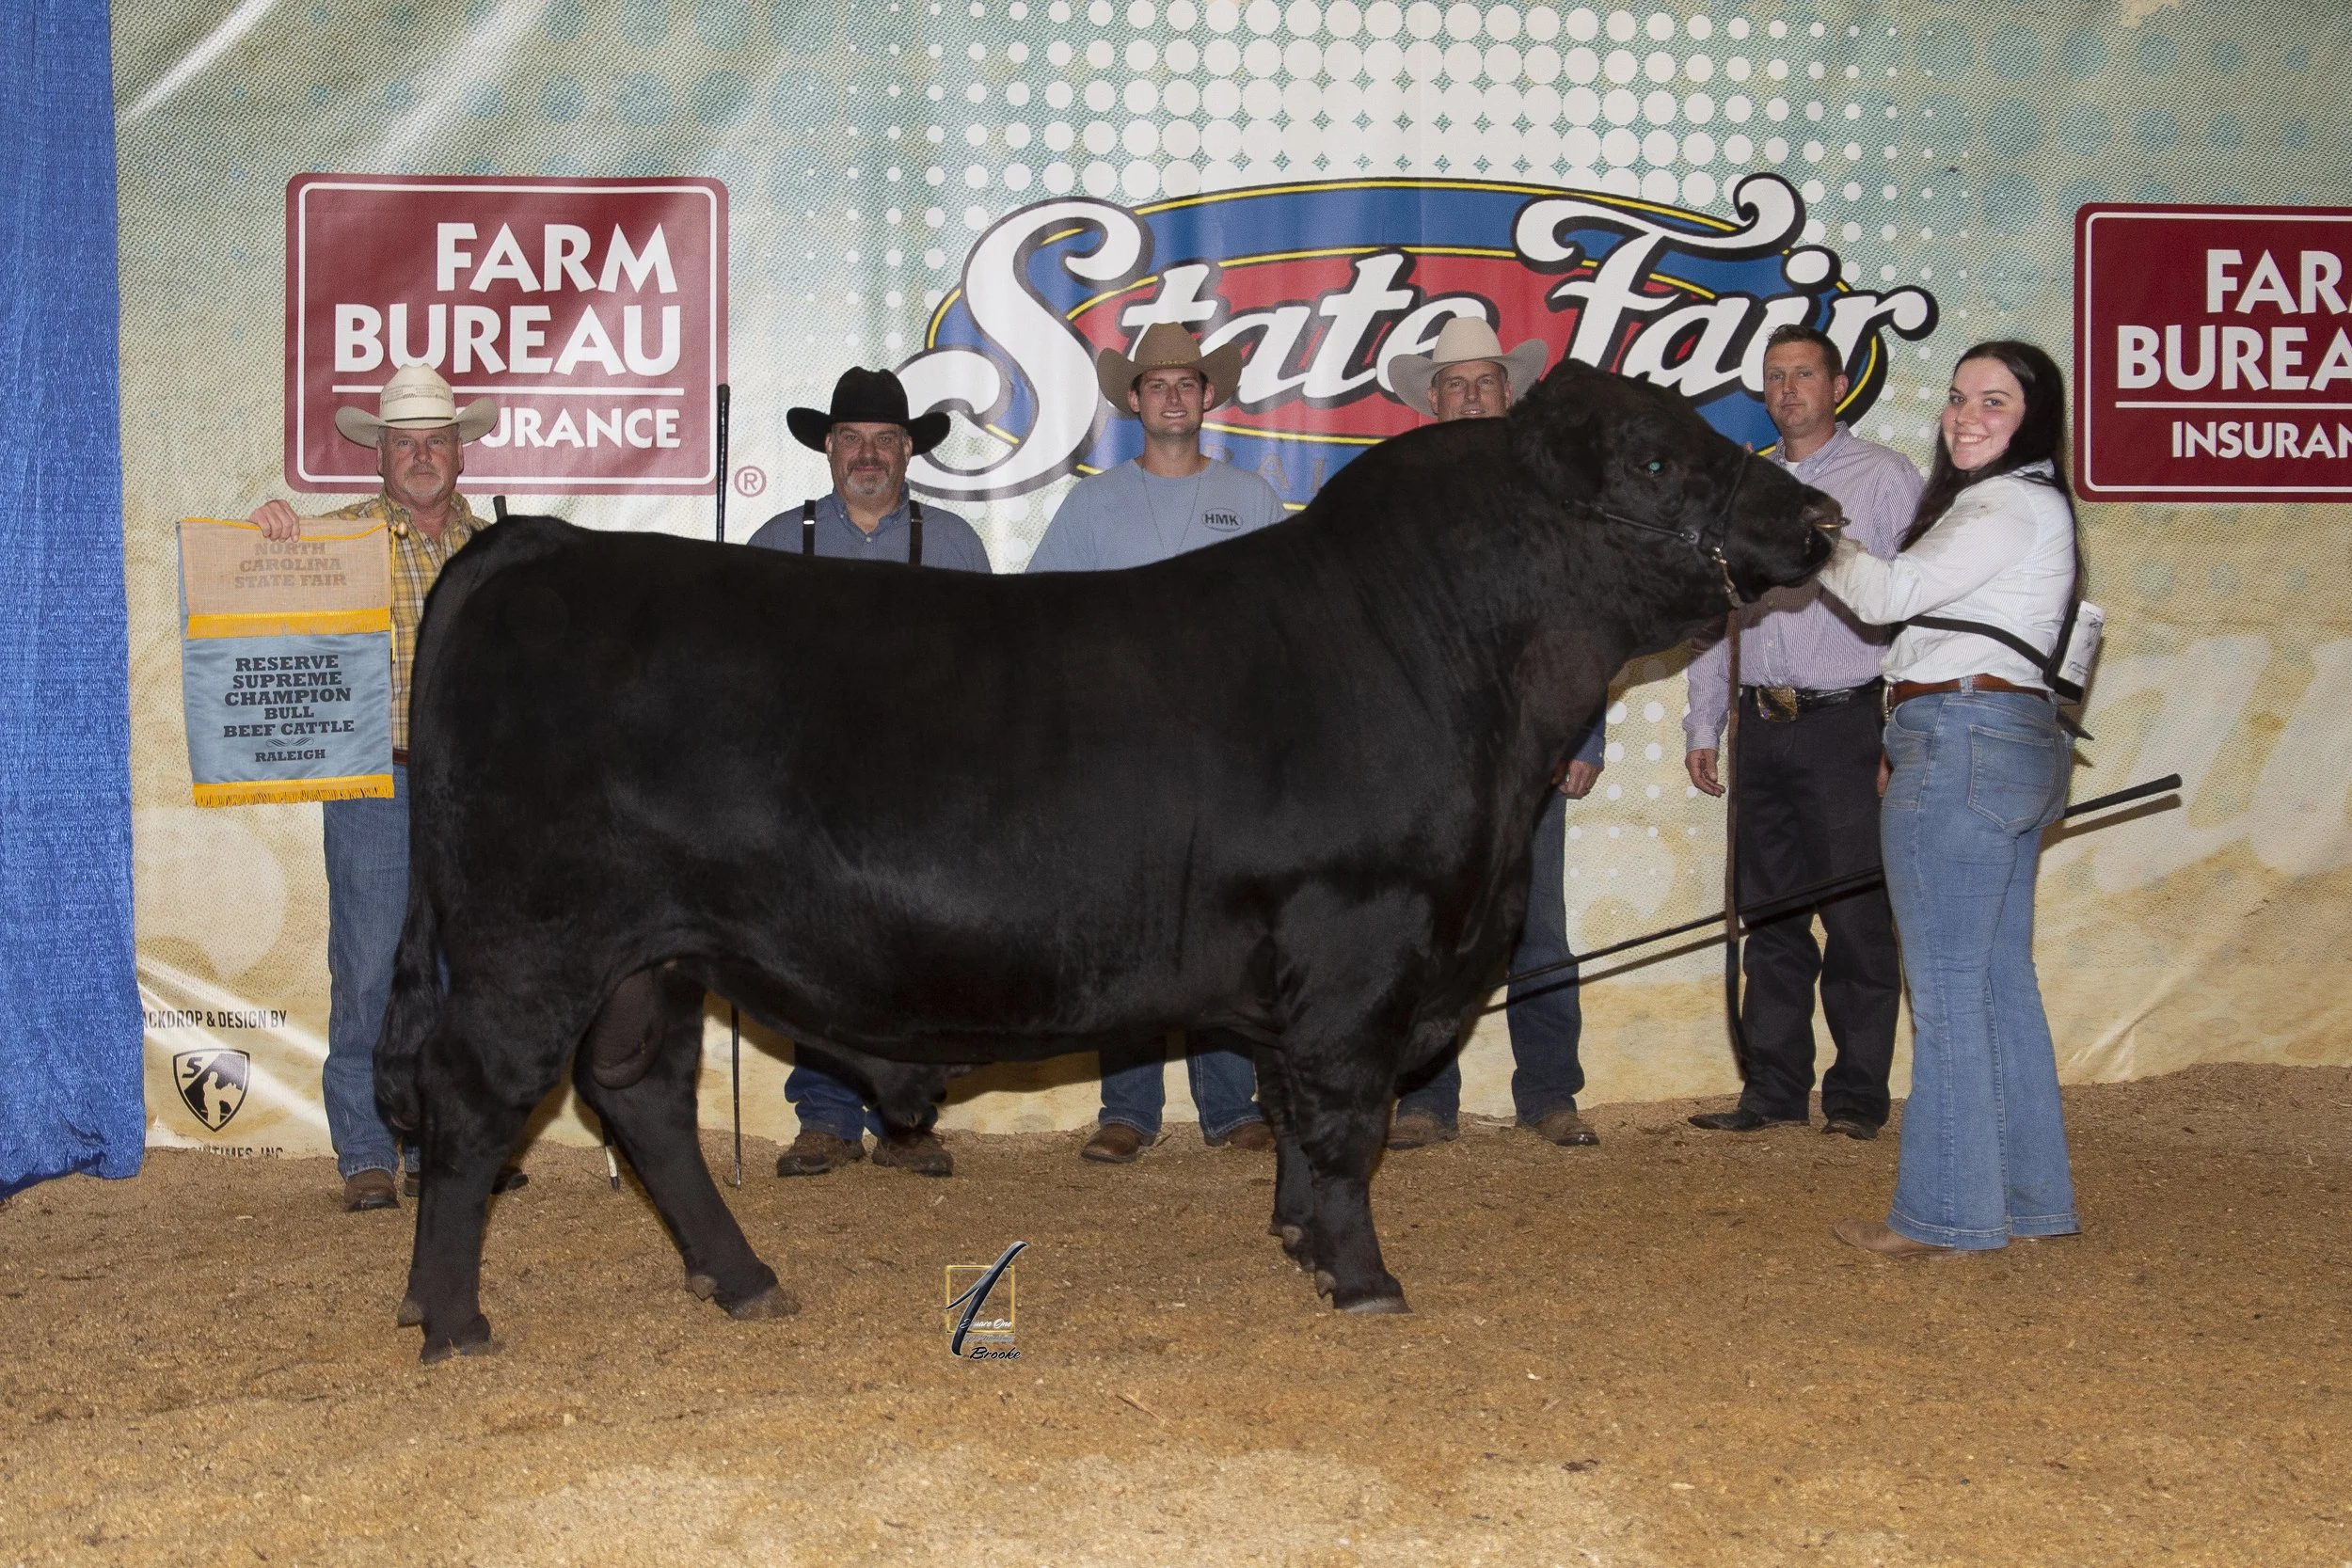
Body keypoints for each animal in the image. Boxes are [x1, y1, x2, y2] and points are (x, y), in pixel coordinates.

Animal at [376, 361, 1839, 1361]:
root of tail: (540, 539)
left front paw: (1300, 1242)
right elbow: (1346, 1114)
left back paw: (742, 1280)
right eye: (1653, 461)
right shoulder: (1358, 939)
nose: (1820, 511)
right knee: (474, 1092)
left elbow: (1298, 1113)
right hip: (532, 939)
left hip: (655, 955)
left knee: (642, 1095)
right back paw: (451, 1318)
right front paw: (1363, 1277)